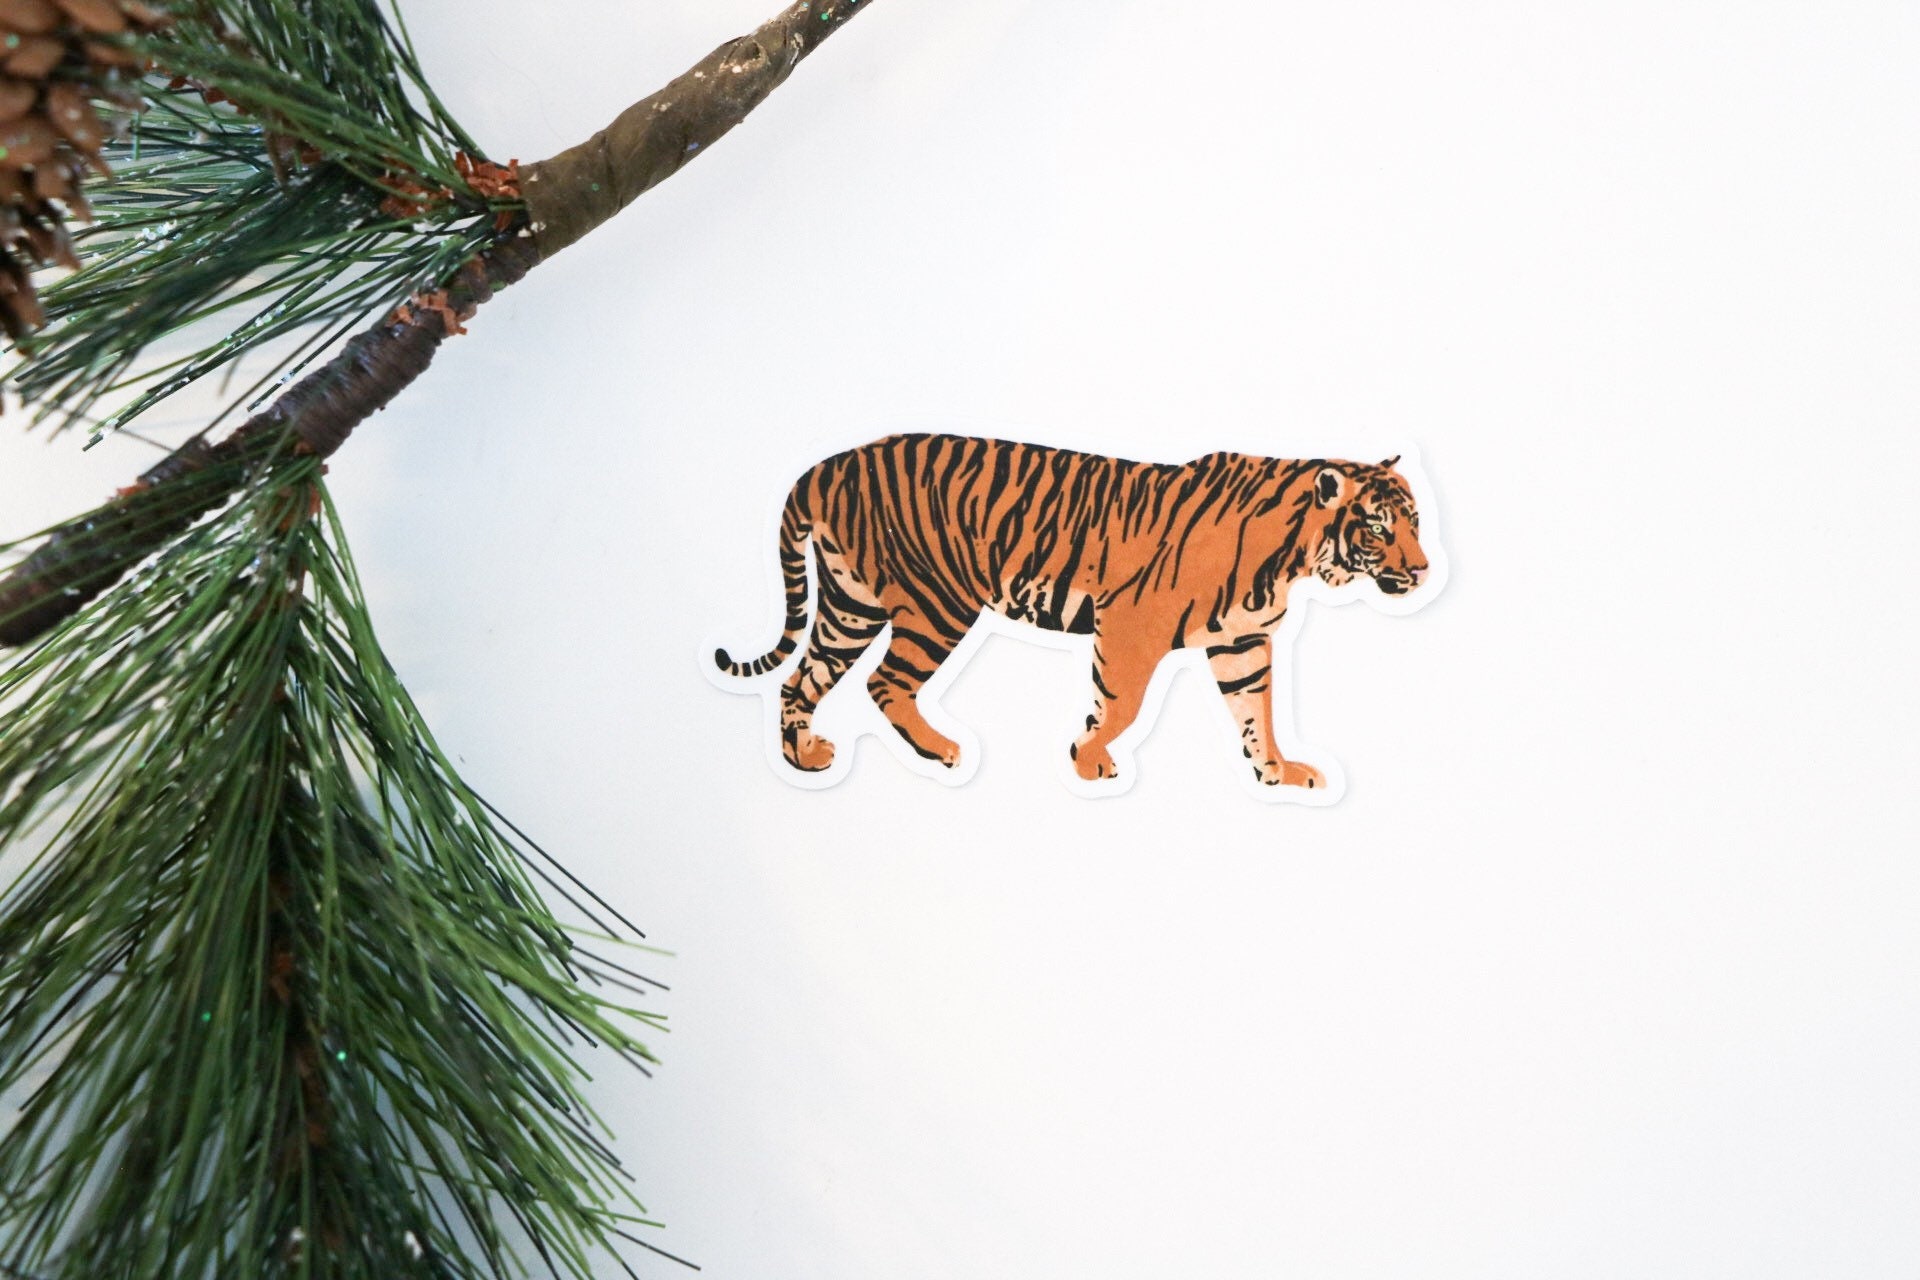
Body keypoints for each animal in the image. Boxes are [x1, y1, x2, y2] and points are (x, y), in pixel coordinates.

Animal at [716, 432, 1431, 789]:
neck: (1295, 556)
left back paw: (803, 758)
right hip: (937, 603)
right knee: (884, 682)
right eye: (1378, 527)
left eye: (1416, 522)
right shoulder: (1132, 624)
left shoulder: (1242, 643)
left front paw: (1277, 771)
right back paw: (944, 752)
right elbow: (1119, 704)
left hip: (851, 604)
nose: (1425, 569)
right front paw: (1089, 759)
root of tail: (825, 465)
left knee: (801, 679)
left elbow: (1258, 712)